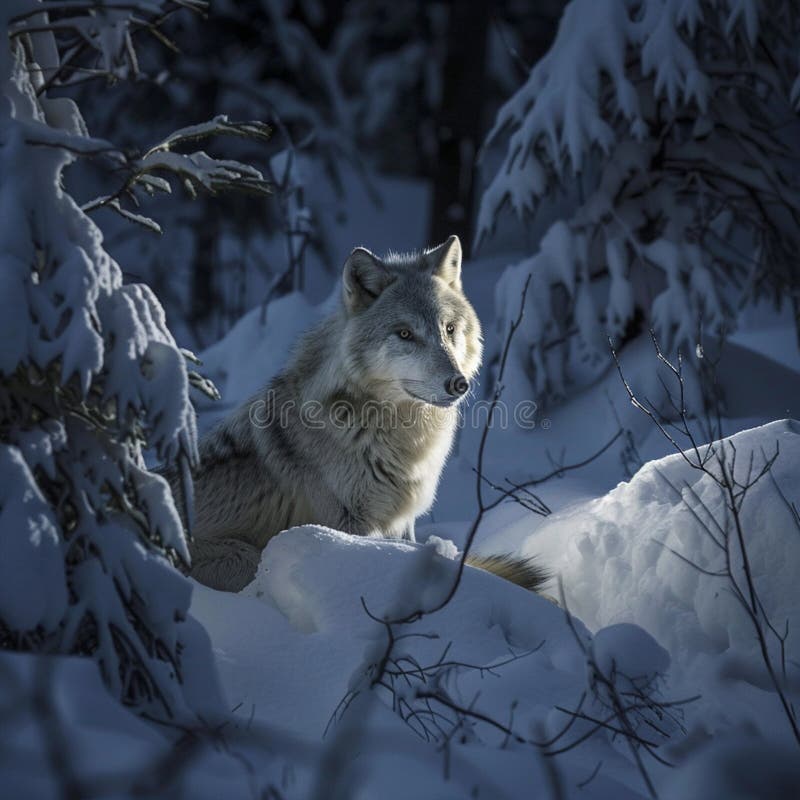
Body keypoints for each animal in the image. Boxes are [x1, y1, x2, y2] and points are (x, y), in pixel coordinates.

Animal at [167, 235, 547, 593]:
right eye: (405, 333)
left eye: (449, 329)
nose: (459, 384)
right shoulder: (349, 522)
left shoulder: (403, 522)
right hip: (245, 556)